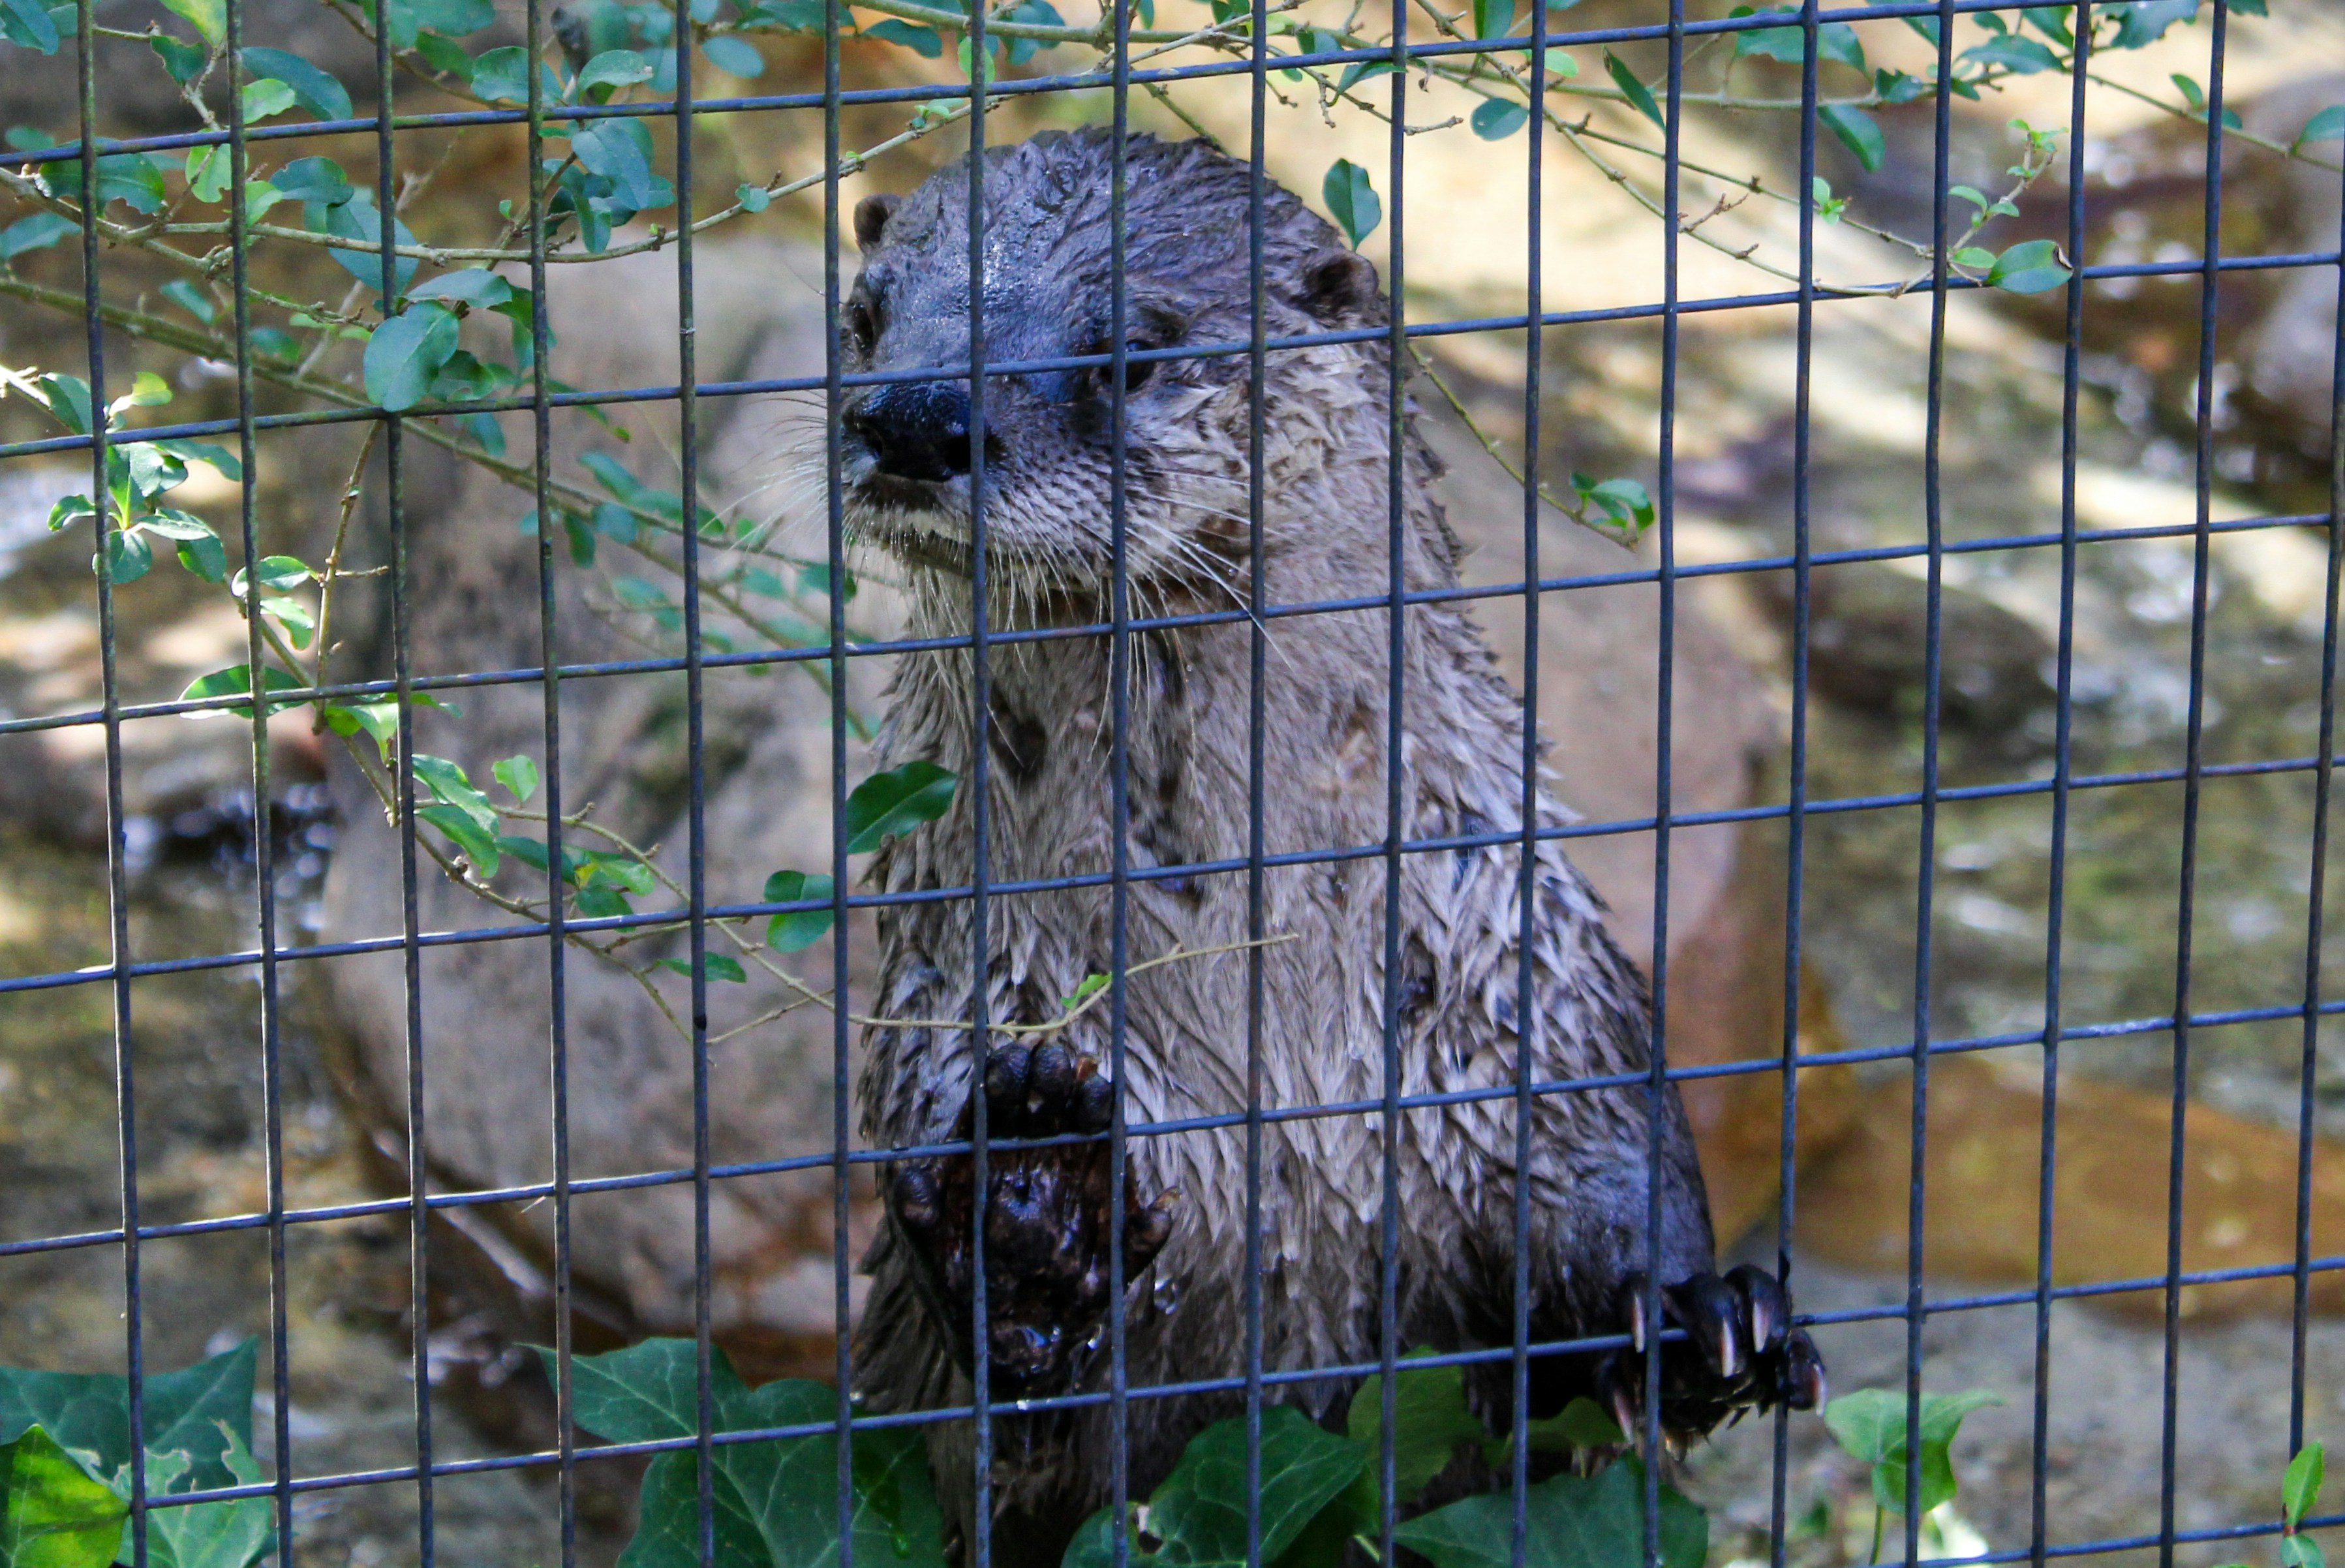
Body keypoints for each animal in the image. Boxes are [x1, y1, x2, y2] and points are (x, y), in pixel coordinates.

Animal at [835, 129, 1822, 1564]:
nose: (913, 418)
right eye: (866, 320)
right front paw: (1025, 1223)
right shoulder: (945, 1005)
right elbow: (986, 1435)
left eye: (1135, 346)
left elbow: (1608, 1198)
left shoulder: (1531, 990)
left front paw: (1704, 1327)